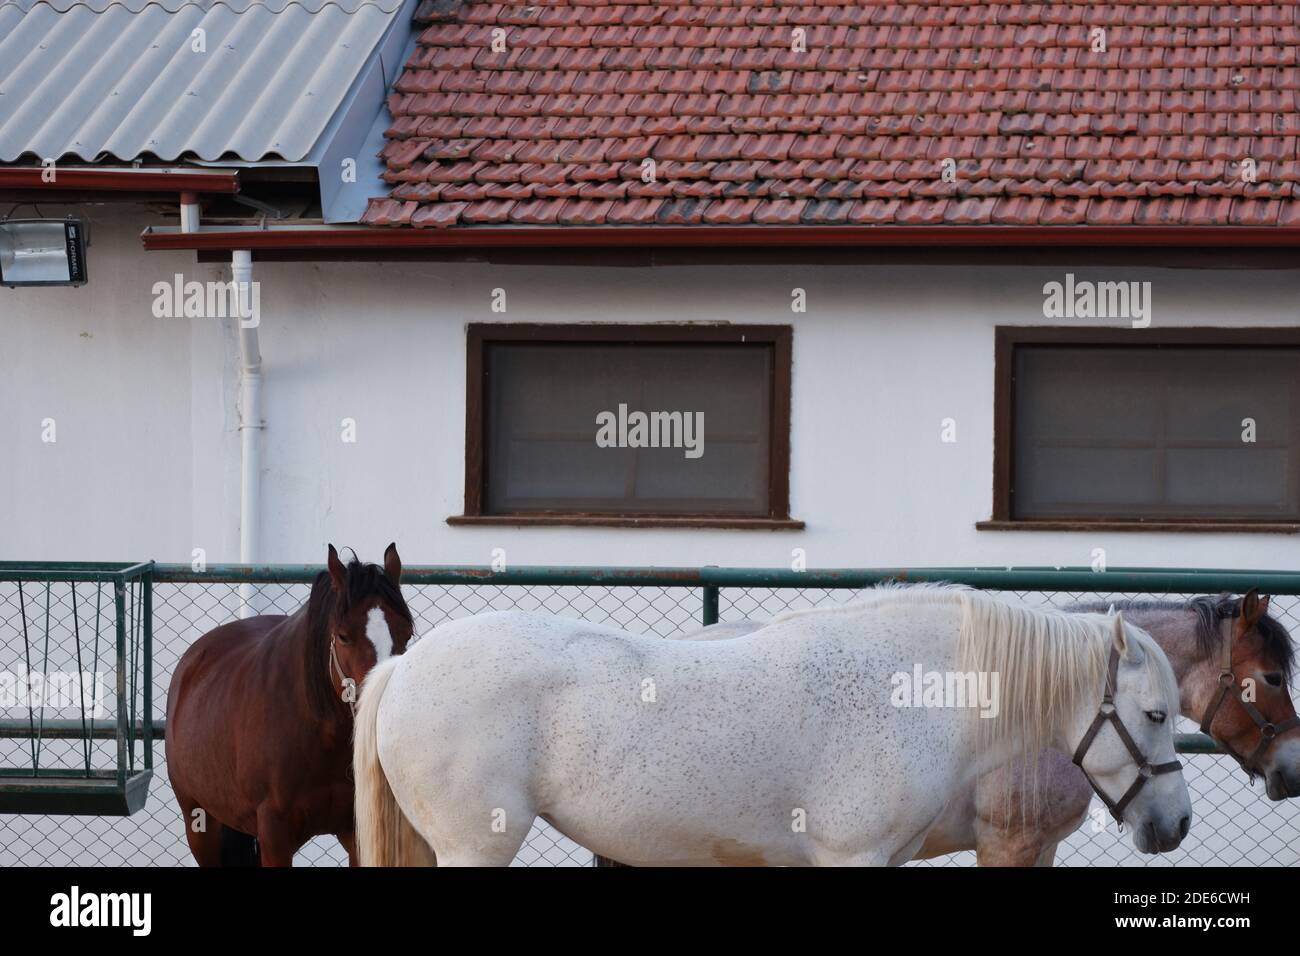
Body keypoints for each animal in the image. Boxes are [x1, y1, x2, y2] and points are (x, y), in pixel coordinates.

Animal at [354, 585, 1191, 866]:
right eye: (1155, 714)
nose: (1177, 824)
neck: (904, 687)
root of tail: (406, 666)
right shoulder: (851, 857)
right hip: (476, 846)